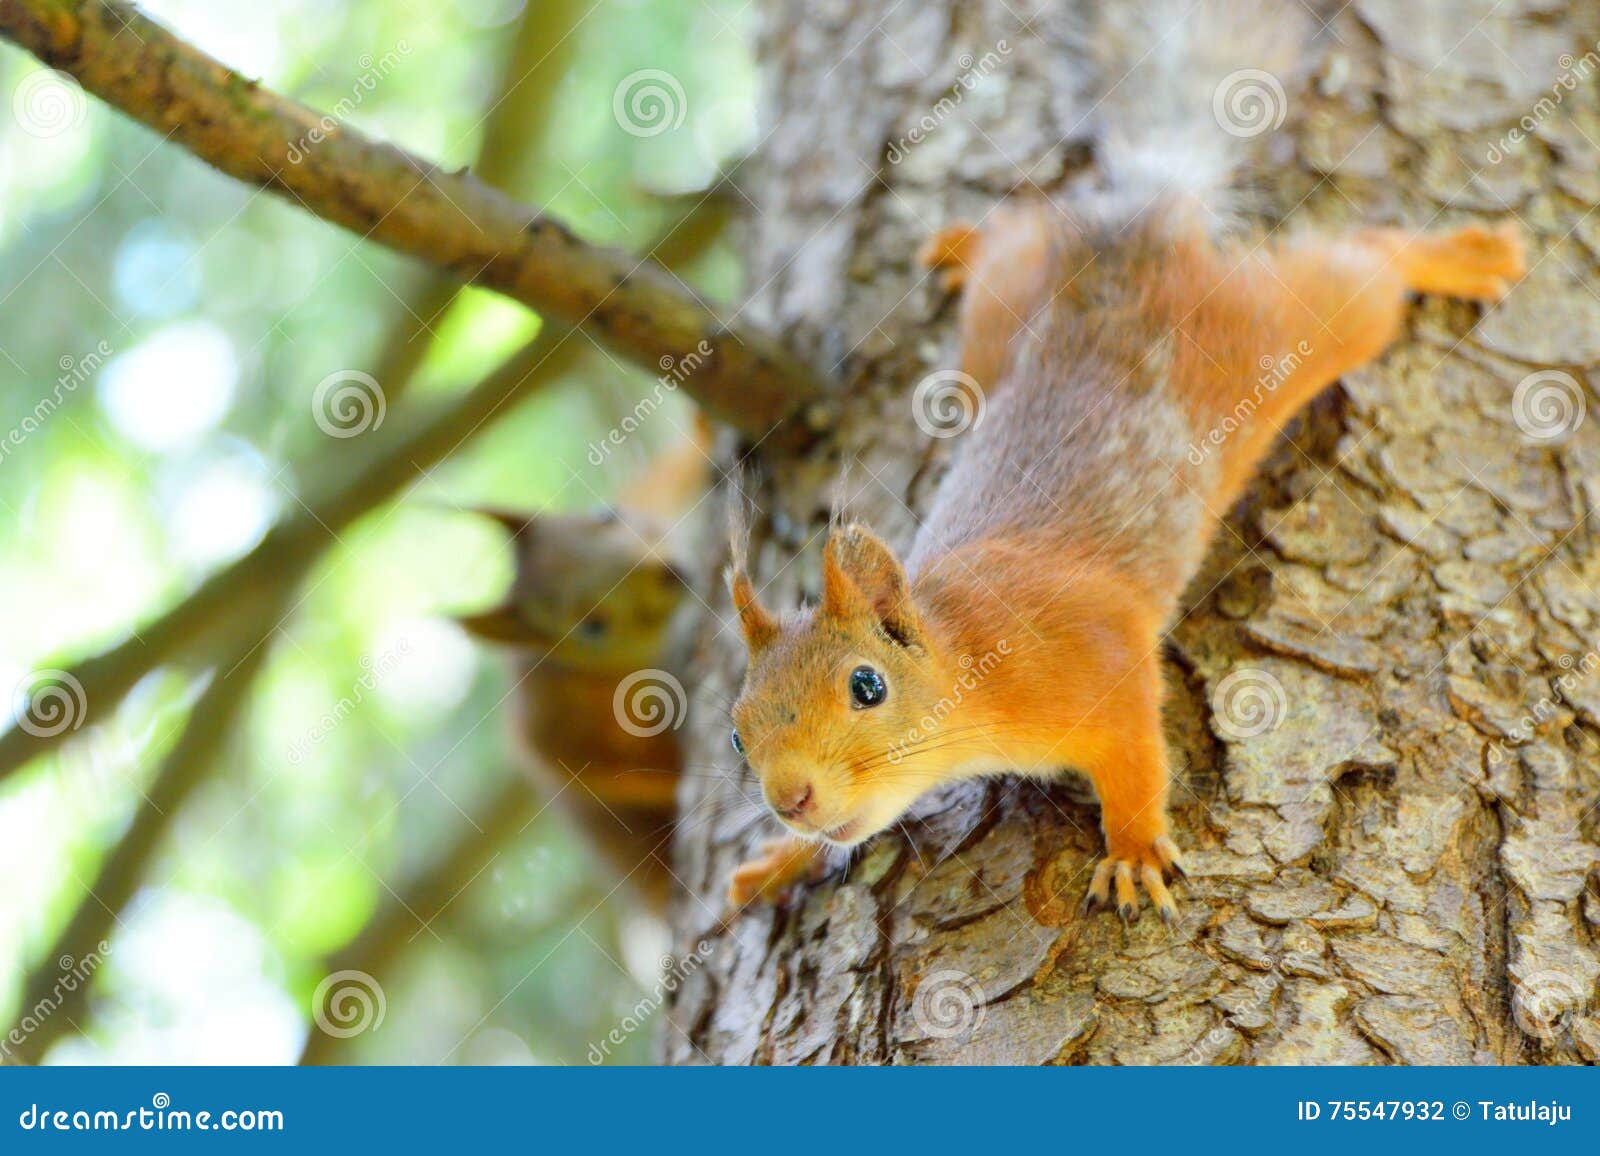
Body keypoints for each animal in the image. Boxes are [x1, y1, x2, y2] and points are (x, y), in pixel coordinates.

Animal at [458, 419, 710, 909]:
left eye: (605, 513)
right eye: (593, 627)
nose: (666, 572)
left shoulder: (648, 497)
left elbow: (672, 472)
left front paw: (705, 430)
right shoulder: (554, 722)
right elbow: (604, 770)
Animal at [723, 0, 1527, 918]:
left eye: (867, 687)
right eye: (736, 734)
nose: (792, 797)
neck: (969, 655)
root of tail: (1140, 225)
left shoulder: (1098, 659)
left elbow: (1138, 755)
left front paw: (1135, 849)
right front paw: (776, 860)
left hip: (1277, 333)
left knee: (1368, 271)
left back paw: (1463, 255)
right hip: (1001, 314)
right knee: (1022, 231)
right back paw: (965, 240)